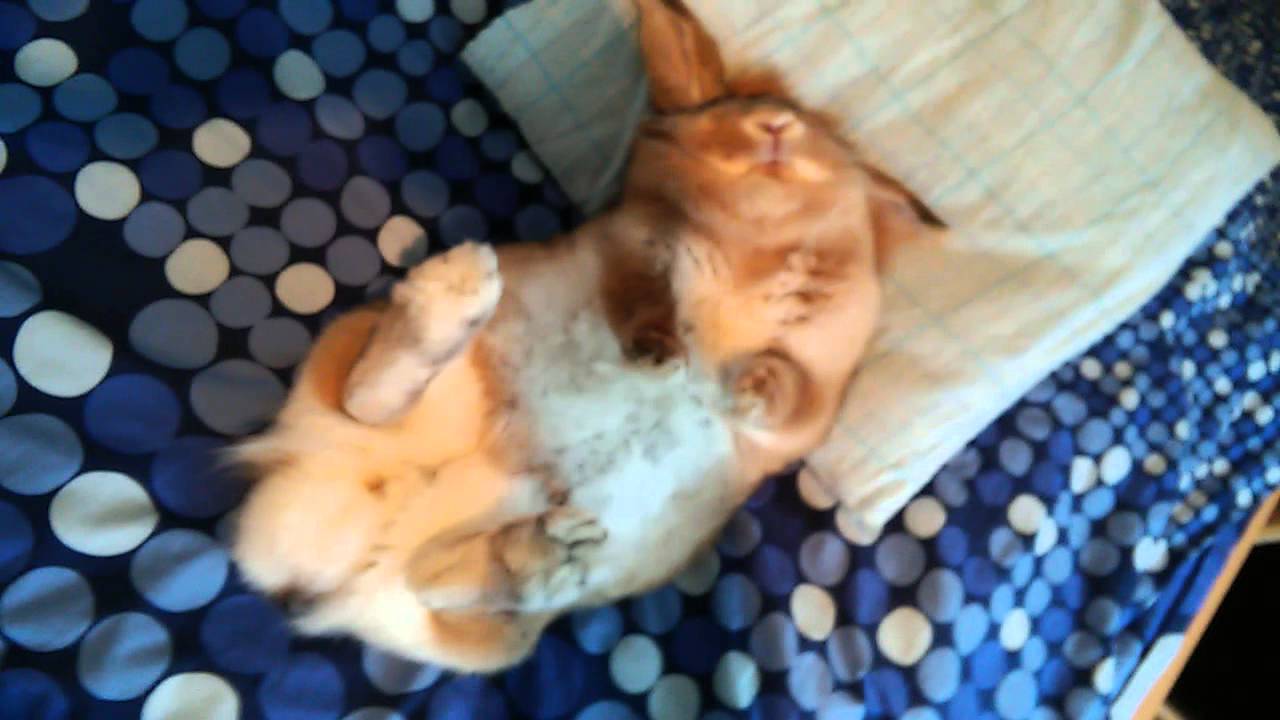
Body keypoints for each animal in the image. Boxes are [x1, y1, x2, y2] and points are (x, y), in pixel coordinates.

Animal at [229, 0, 944, 673]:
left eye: (816, 128)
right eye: (727, 109)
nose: (776, 128)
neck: (755, 238)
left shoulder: (813, 400)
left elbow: (792, 394)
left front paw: (748, 385)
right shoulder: (637, 242)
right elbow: (642, 293)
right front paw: (663, 356)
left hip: (485, 619)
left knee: (433, 585)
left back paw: (542, 555)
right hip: (407, 379)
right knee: (367, 399)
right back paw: (452, 294)